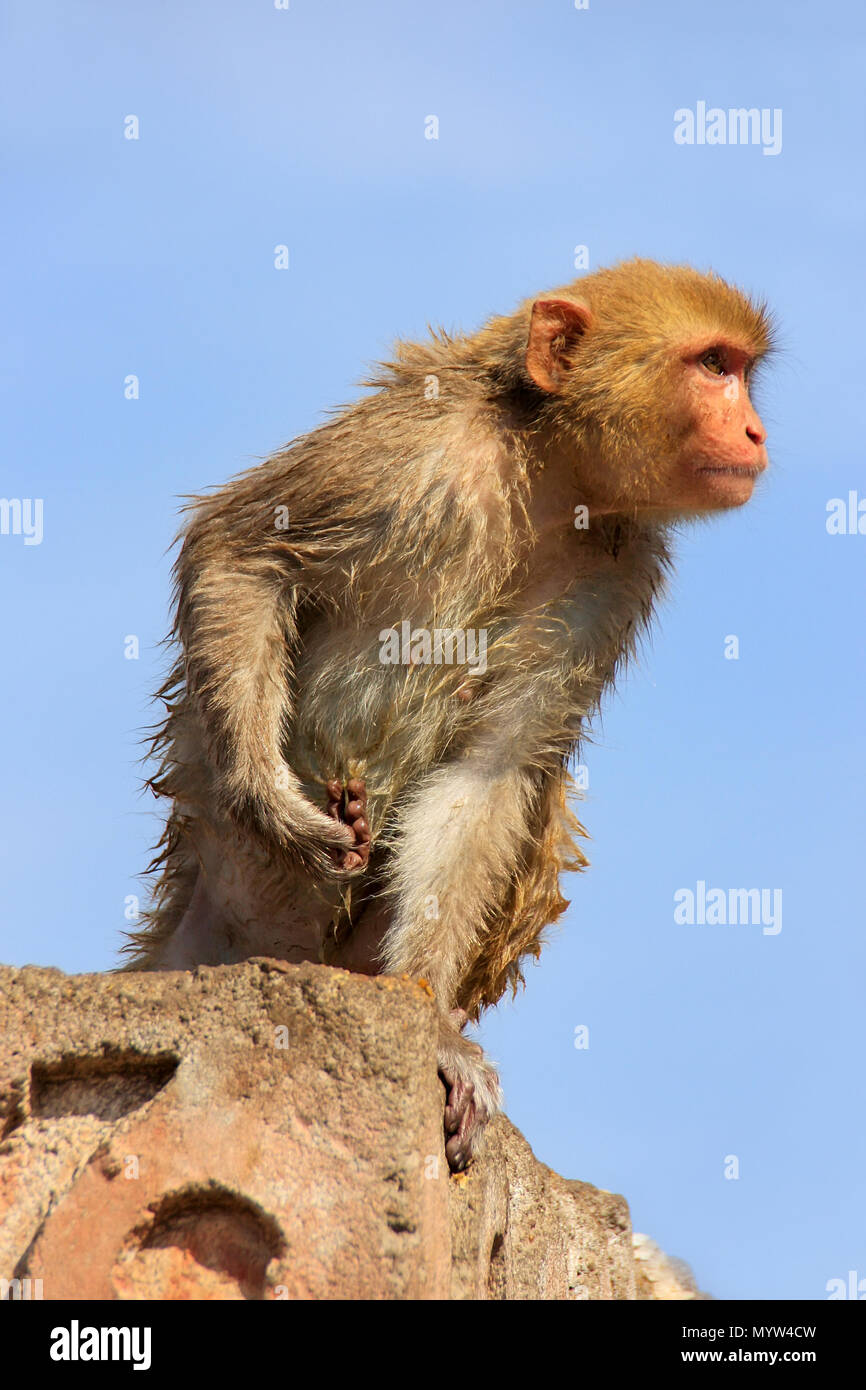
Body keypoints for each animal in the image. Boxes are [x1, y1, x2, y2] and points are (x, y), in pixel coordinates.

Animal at [125, 258, 773, 1172]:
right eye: (714, 365)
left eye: (741, 370)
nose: (753, 430)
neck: (544, 473)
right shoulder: (410, 453)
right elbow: (242, 550)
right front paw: (267, 798)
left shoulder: (621, 571)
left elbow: (489, 772)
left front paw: (431, 1024)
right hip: (242, 886)